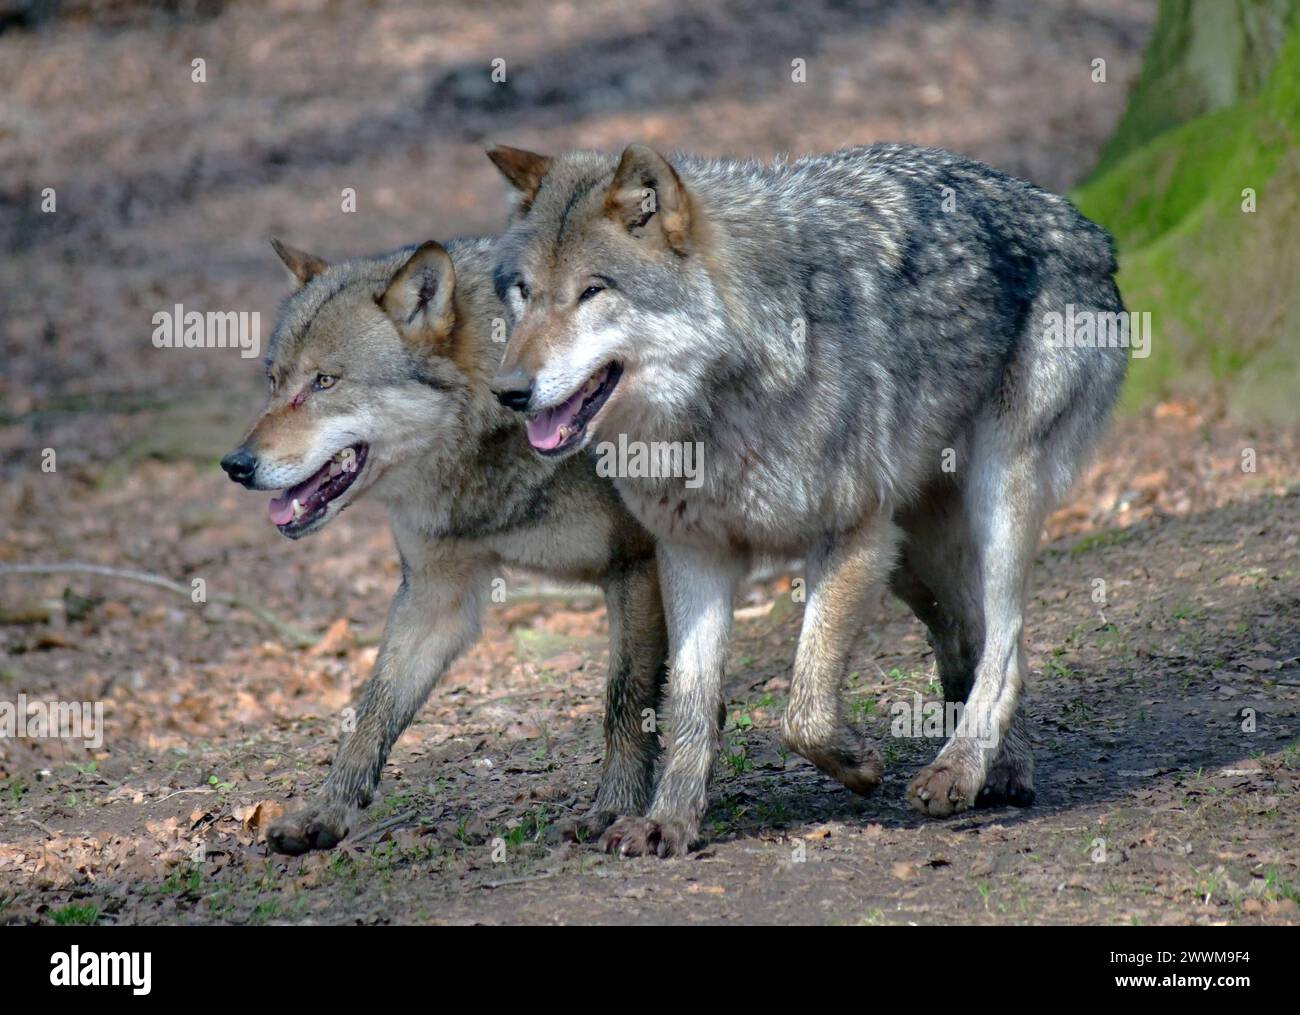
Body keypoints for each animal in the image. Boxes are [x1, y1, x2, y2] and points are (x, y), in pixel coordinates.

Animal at [220, 237, 667, 854]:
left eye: (325, 382)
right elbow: (372, 710)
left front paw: (615, 809)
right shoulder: (435, 596)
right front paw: (325, 812)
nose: (235, 466)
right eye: (274, 381)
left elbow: (626, 700)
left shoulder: (636, 564)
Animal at [486, 142, 1128, 856]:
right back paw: (1001, 769)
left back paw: (957, 770)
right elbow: (691, 703)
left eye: (592, 291)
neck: (725, 392)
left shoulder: (854, 534)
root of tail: (1085, 225)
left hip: (996, 498)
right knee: (972, 635)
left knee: (1008, 643)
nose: (509, 392)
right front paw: (668, 821)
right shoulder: (692, 554)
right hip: (914, 559)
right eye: (524, 292)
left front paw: (859, 764)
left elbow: (802, 712)